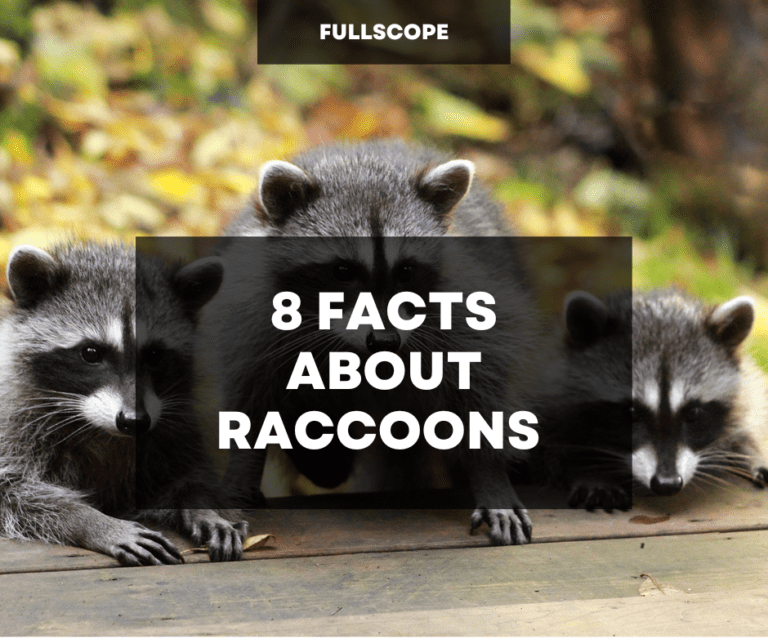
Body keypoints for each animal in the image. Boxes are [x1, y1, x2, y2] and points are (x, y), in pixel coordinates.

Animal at [0, 242, 247, 565]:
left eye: (154, 355)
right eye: (91, 353)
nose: (134, 421)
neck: (101, 430)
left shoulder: (175, 429)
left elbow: (187, 477)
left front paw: (204, 508)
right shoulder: (16, 424)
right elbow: (14, 491)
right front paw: (92, 522)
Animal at [210, 140, 543, 545]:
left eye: (406, 270)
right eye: (342, 271)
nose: (385, 339)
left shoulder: (467, 307)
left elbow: (482, 384)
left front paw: (490, 477)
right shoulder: (250, 314)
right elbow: (249, 398)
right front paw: (240, 476)